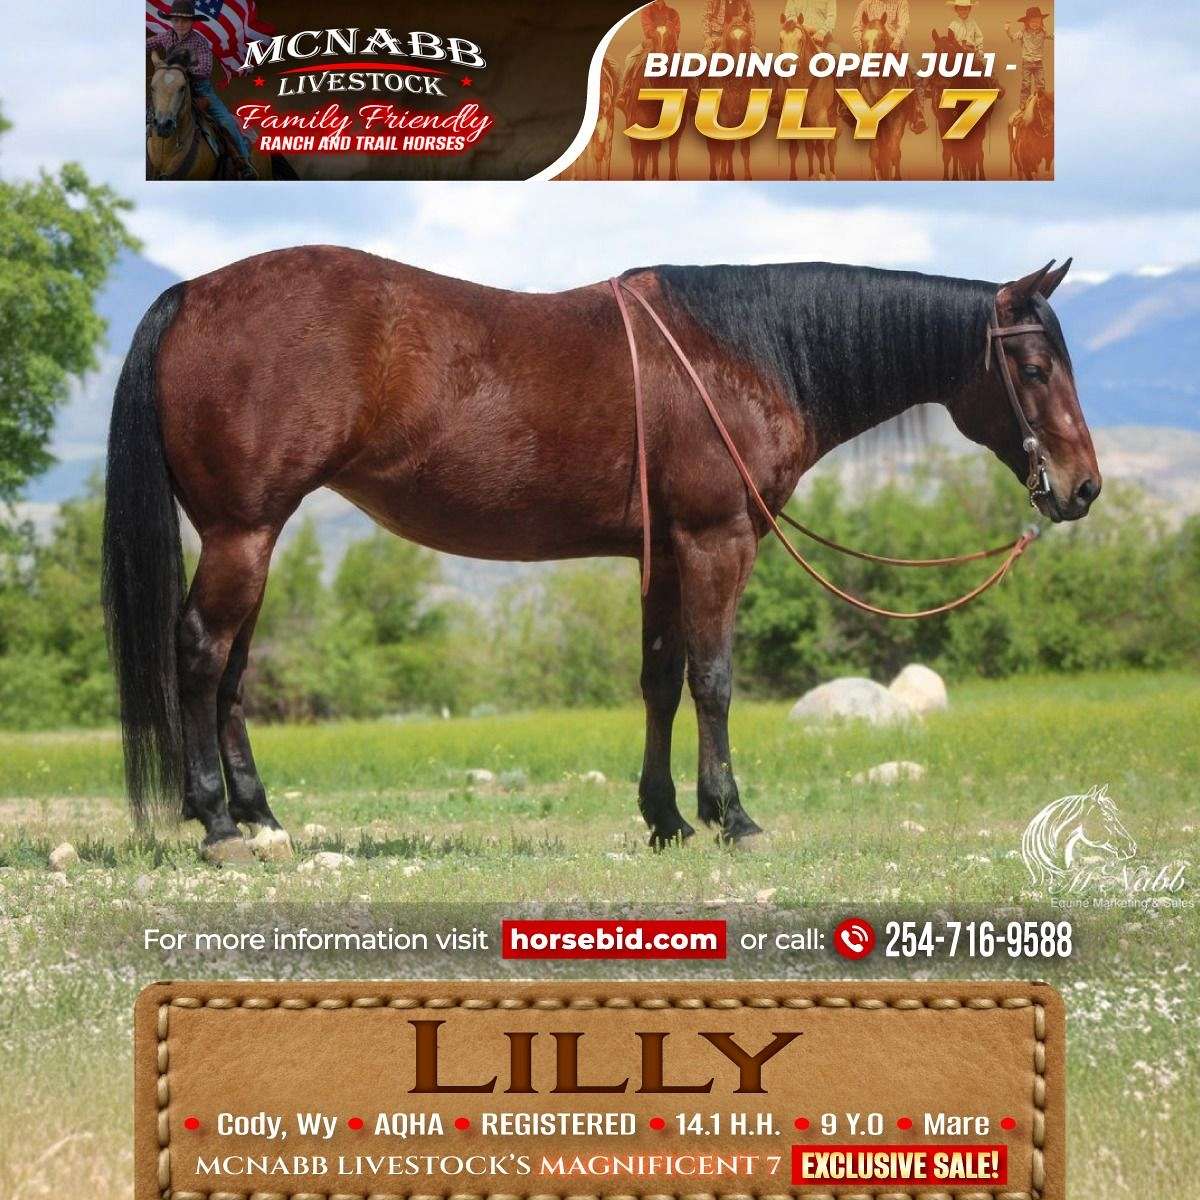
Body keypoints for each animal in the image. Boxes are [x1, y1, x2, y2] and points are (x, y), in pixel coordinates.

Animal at [102, 252, 1101, 864]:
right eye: (1036, 368)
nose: (1083, 487)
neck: (739, 356)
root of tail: (193, 292)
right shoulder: (715, 542)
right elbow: (714, 680)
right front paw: (732, 816)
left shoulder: (662, 554)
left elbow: (660, 682)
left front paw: (666, 817)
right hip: (241, 533)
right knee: (200, 652)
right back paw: (217, 821)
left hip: (255, 536)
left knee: (232, 670)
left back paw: (262, 816)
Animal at [698, 20, 758, 180]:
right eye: (729, 41)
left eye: (747, 39)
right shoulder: (724, 117)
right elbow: (725, 148)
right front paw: (723, 175)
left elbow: (744, 149)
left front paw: (747, 176)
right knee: (714, 148)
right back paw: (714, 175)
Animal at [774, 22, 838, 181]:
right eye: (780, 39)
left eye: (800, 40)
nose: (786, 66)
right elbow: (795, 149)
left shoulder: (821, 118)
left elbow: (820, 148)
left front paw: (822, 175)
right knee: (810, 147)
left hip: (833, 118)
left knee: (831, 147)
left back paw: (832, 174)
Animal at [929, 28, 999, 181]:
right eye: (934, 55)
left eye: (952, 55)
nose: (940, 85)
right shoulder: (944, 125)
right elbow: (949, 154)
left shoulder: (977, 127)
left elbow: (974, 153)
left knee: (978, 153)